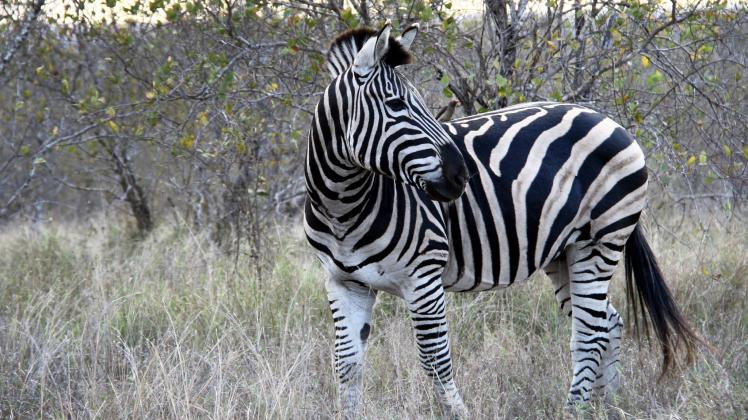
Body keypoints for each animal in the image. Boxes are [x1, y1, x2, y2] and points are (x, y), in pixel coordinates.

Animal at [304, 22, 702, 418]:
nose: (461, 175)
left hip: (600, 241)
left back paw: (574, 410)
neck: (343, 208)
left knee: (590, 333)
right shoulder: (344, 283)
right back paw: (608, 404)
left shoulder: (424, 277)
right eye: (396, 105)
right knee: (607, 321)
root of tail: (607, 119)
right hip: (565, 252)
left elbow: (436, 360)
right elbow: (347, 364)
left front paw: (458, 414)